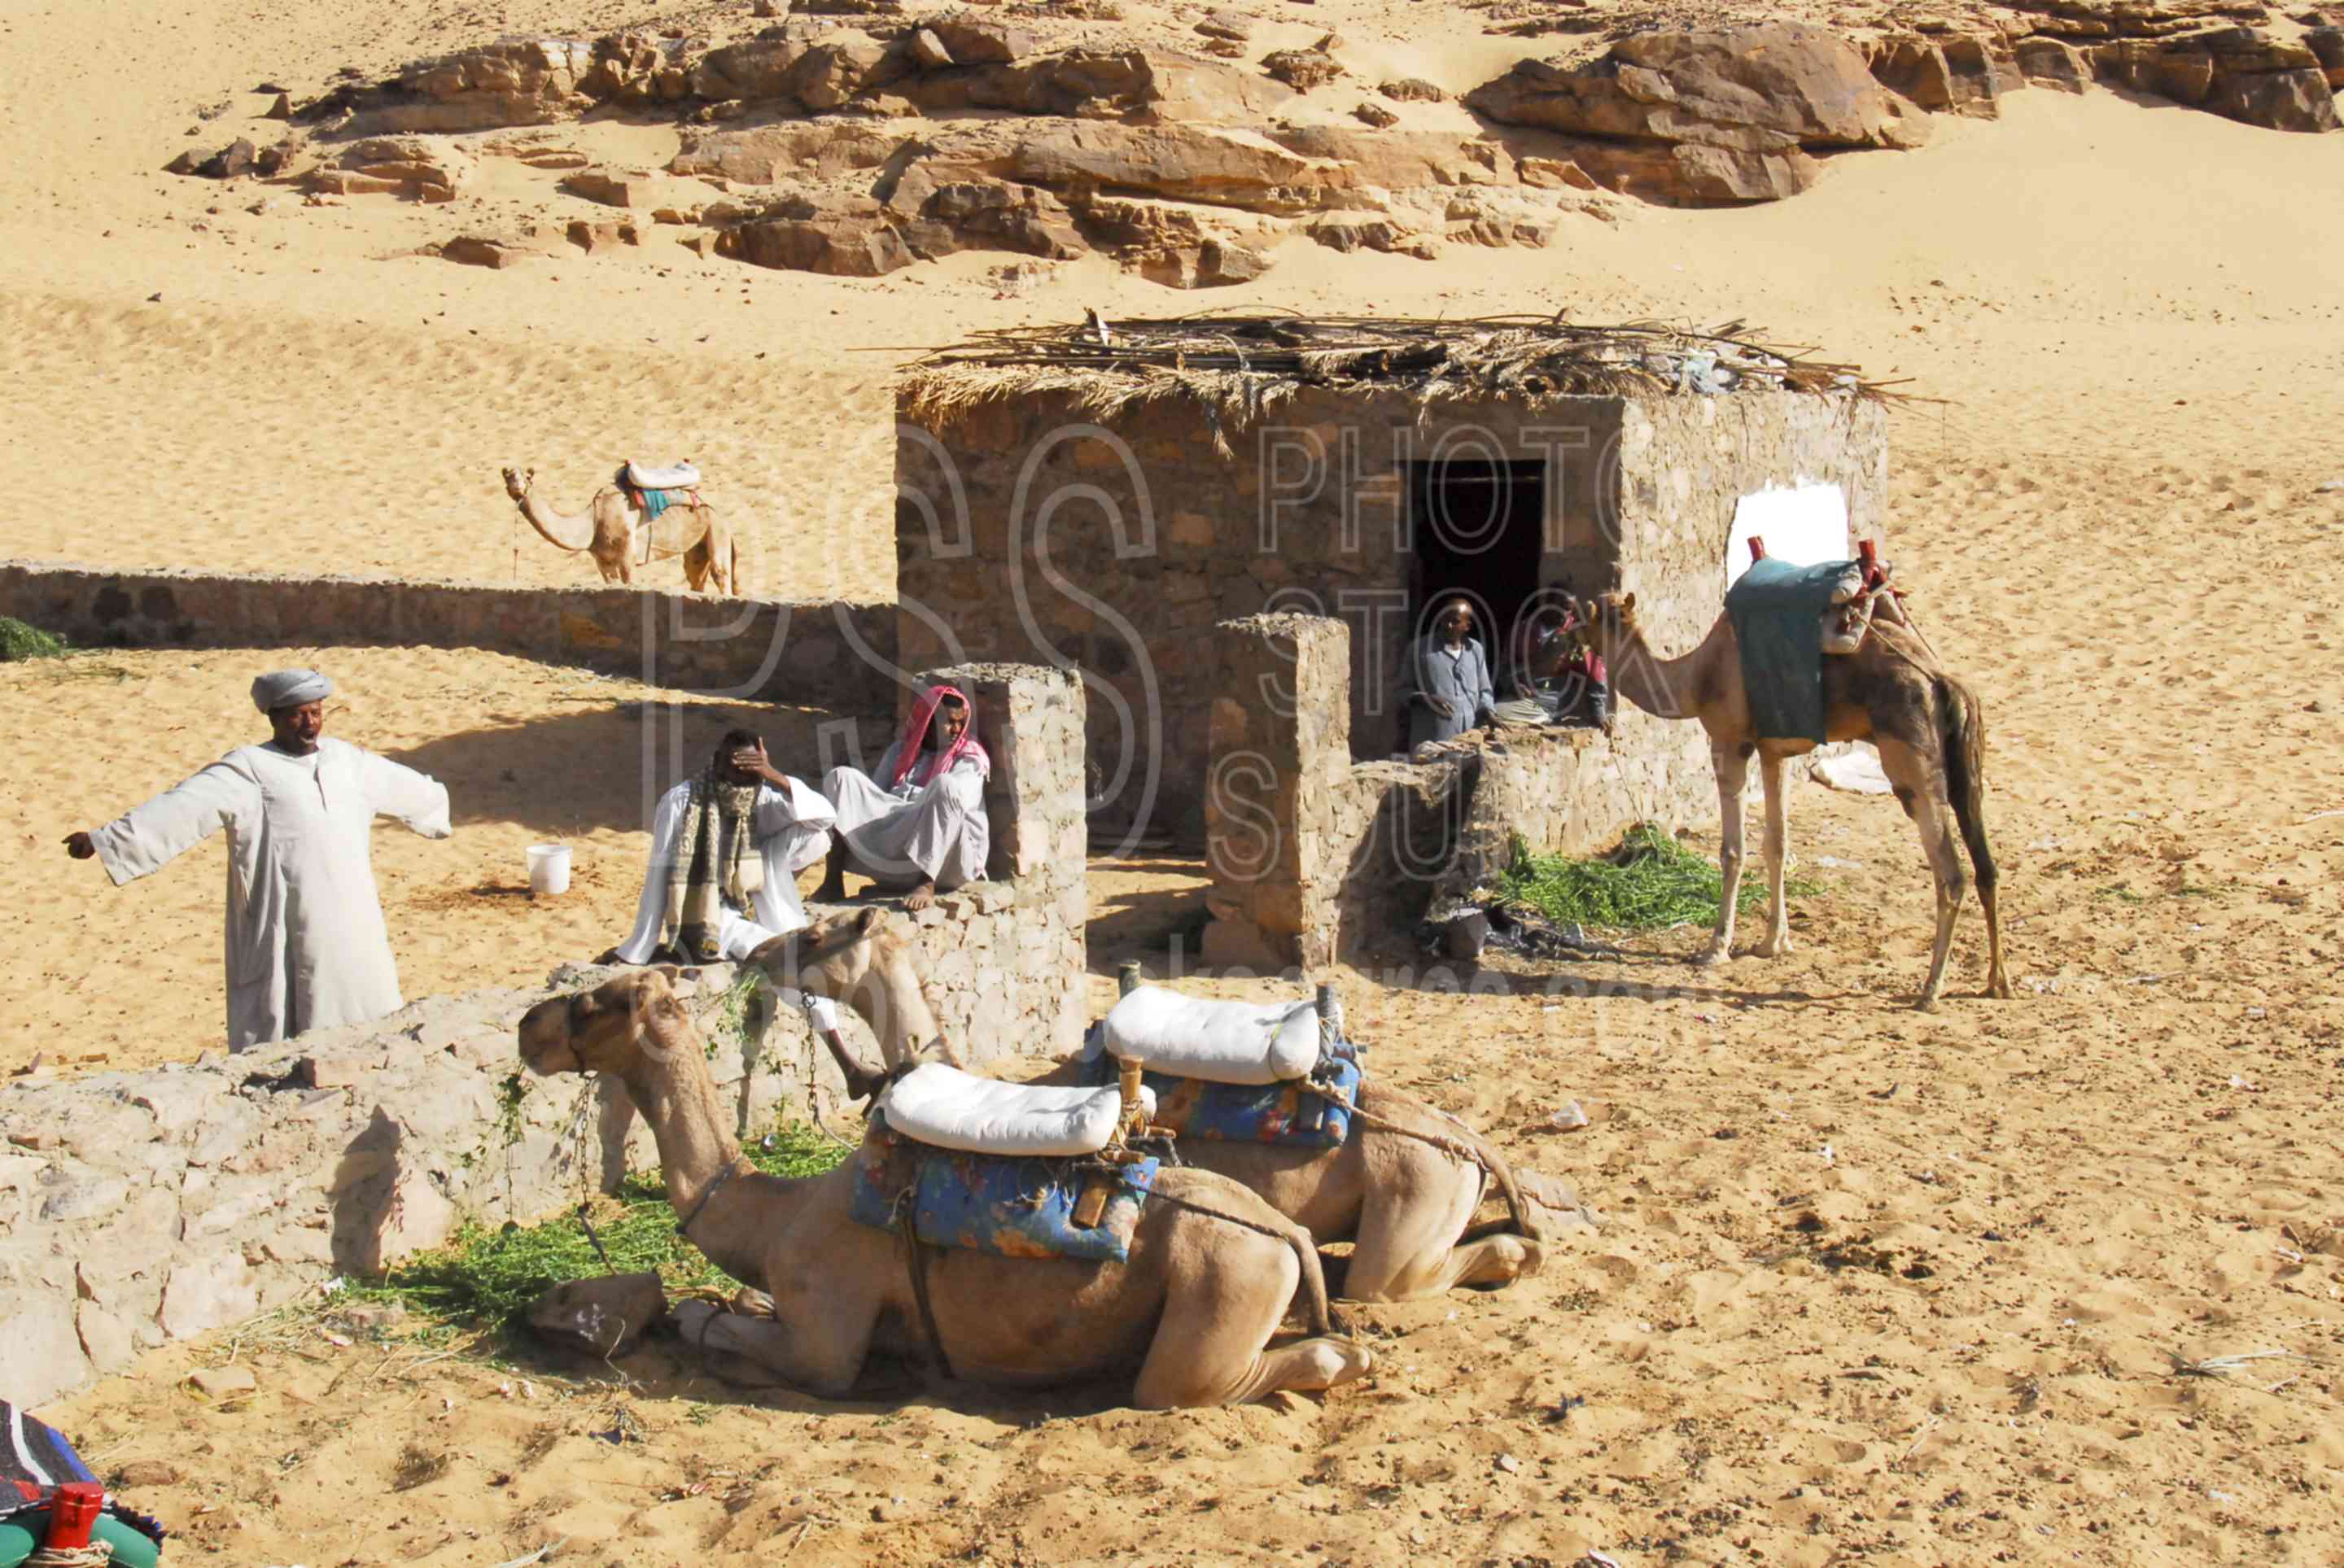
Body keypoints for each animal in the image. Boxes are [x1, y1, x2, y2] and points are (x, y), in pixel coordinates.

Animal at [499, 466, 739, 594]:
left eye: (527, 478)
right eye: (508, 477)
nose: (517, 488)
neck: (594, 520)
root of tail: (716, 511)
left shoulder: (626, 556)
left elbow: (629, 580)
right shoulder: (603, 563)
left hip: (717, 530)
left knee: (721, 573)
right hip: (697, 546)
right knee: (695, 578)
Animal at [517, 963, 1373, 1408]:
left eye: (592, 1004)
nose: (529, 1024)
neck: (774, 1217)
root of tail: (1285, 1235)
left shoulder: (826, 1337)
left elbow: (717, 1326)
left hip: (1222, 1287)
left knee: (1224, 1376)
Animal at [1571, 589, 2009, 1010]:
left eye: (1587, 614)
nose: (1568, 632)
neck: (1695, 678)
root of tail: (1940, 679)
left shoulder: (1729, 741)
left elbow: (1733, 851)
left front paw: (1716, 947)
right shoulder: (1773, 752)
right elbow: (1777, 845)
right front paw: (1773, 943)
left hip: (1909, 758)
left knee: (1951, 874)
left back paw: (1930, 990)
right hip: (1964, 768)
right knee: (1986, 866)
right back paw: (1996, 983)